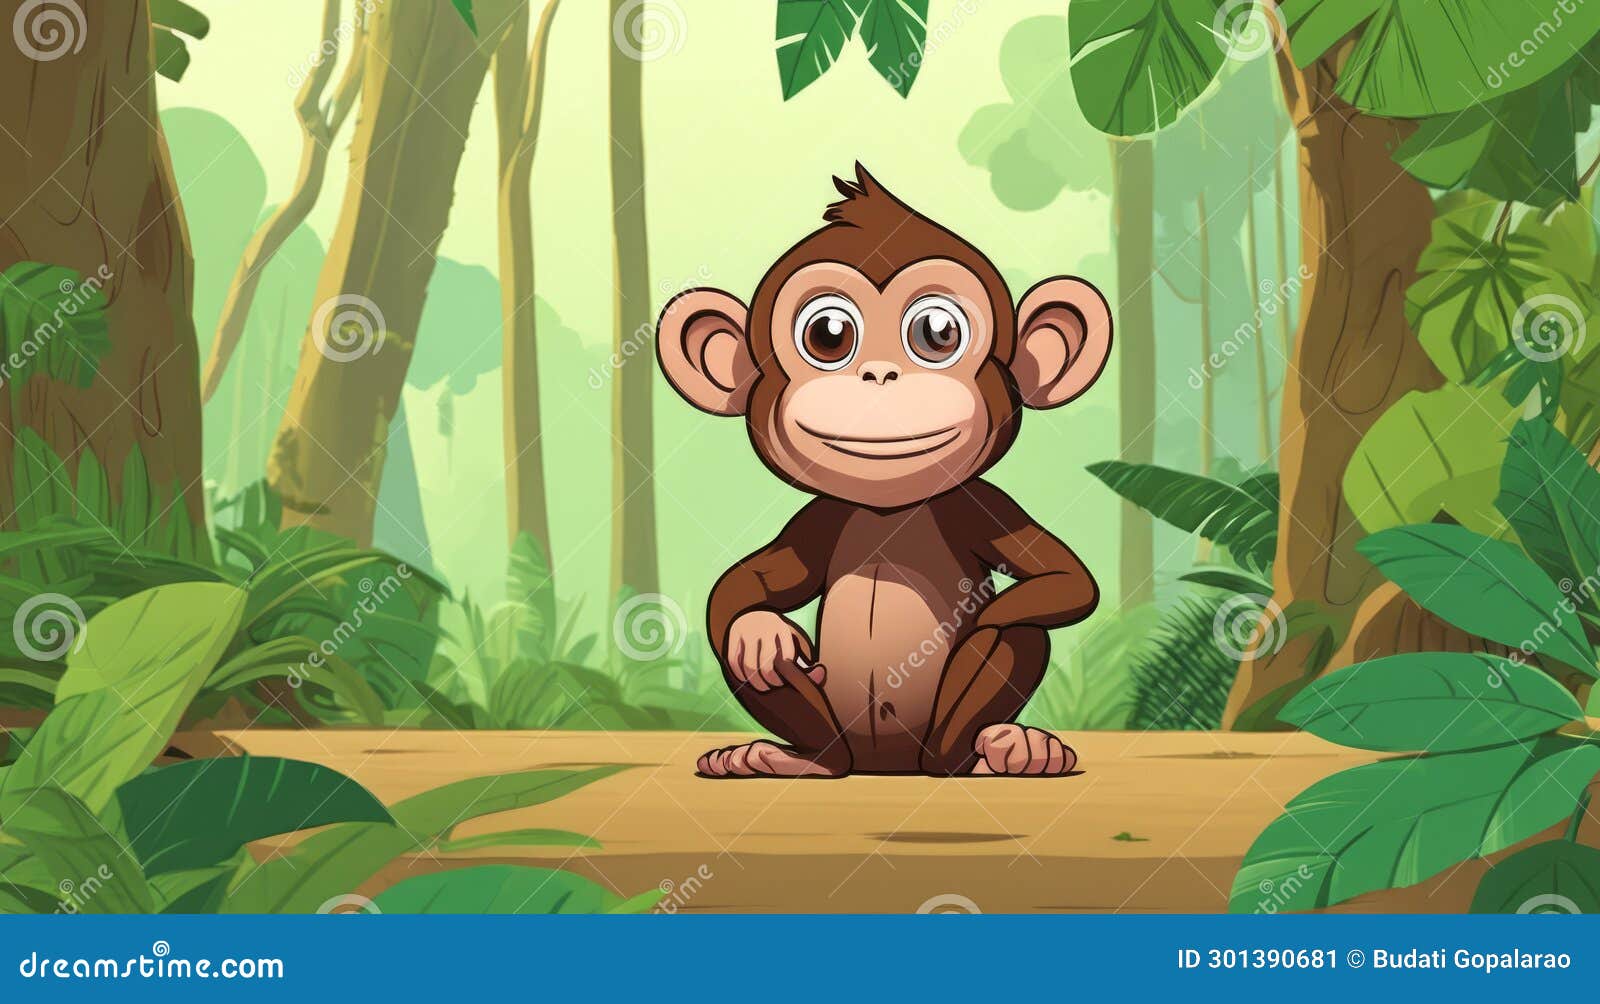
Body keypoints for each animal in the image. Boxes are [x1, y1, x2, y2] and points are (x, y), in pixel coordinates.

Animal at [655, 165, 1111, 777]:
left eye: (938, 333)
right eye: (828, 335)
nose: (879, 374)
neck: (888, 512)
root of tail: (888, 764)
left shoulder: (978, 504)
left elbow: (1060, 580)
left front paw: (983, 621)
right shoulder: (822, 516)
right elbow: (760, 585)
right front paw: (761, 630)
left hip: (935, 746)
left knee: (1021, 635)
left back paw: (1005, 751)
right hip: (843, 741)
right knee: (756, 663)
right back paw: (790, 757)